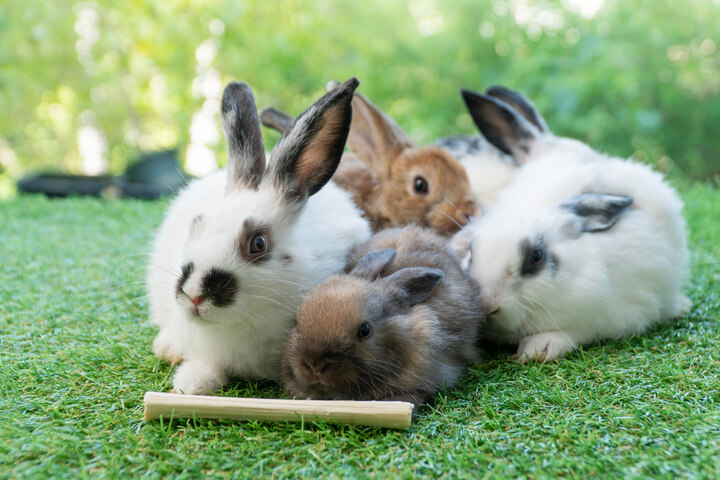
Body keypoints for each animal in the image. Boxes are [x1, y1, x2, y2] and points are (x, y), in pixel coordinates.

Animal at [451, 96, 691, 363]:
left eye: (535, 257)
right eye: (471, 253)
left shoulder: (614, 315)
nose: (488, 306)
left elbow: (574, 331)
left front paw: (538, 349)